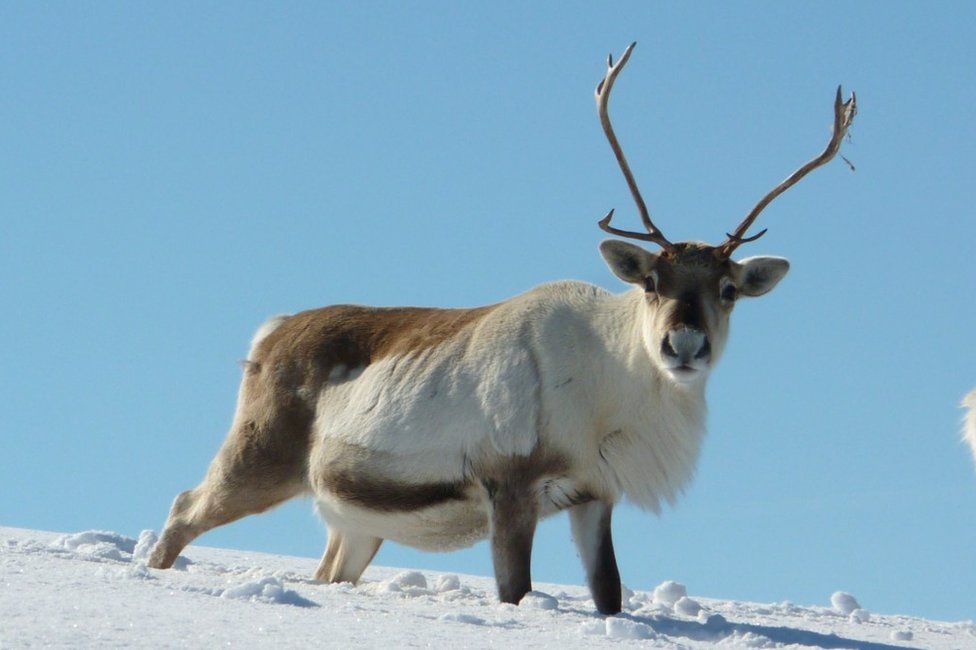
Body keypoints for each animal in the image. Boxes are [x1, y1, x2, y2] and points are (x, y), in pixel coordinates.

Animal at [147, 43, 856, 615]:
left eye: (728, 290)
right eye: (651, 281)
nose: (683, 344)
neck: (610, 395)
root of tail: (268, 335)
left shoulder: (594, 493)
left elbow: (609, 593)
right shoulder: (509, 485)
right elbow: (516, 591)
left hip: (355, 523)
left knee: (325, 568)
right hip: (260, 454)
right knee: (182, 509)